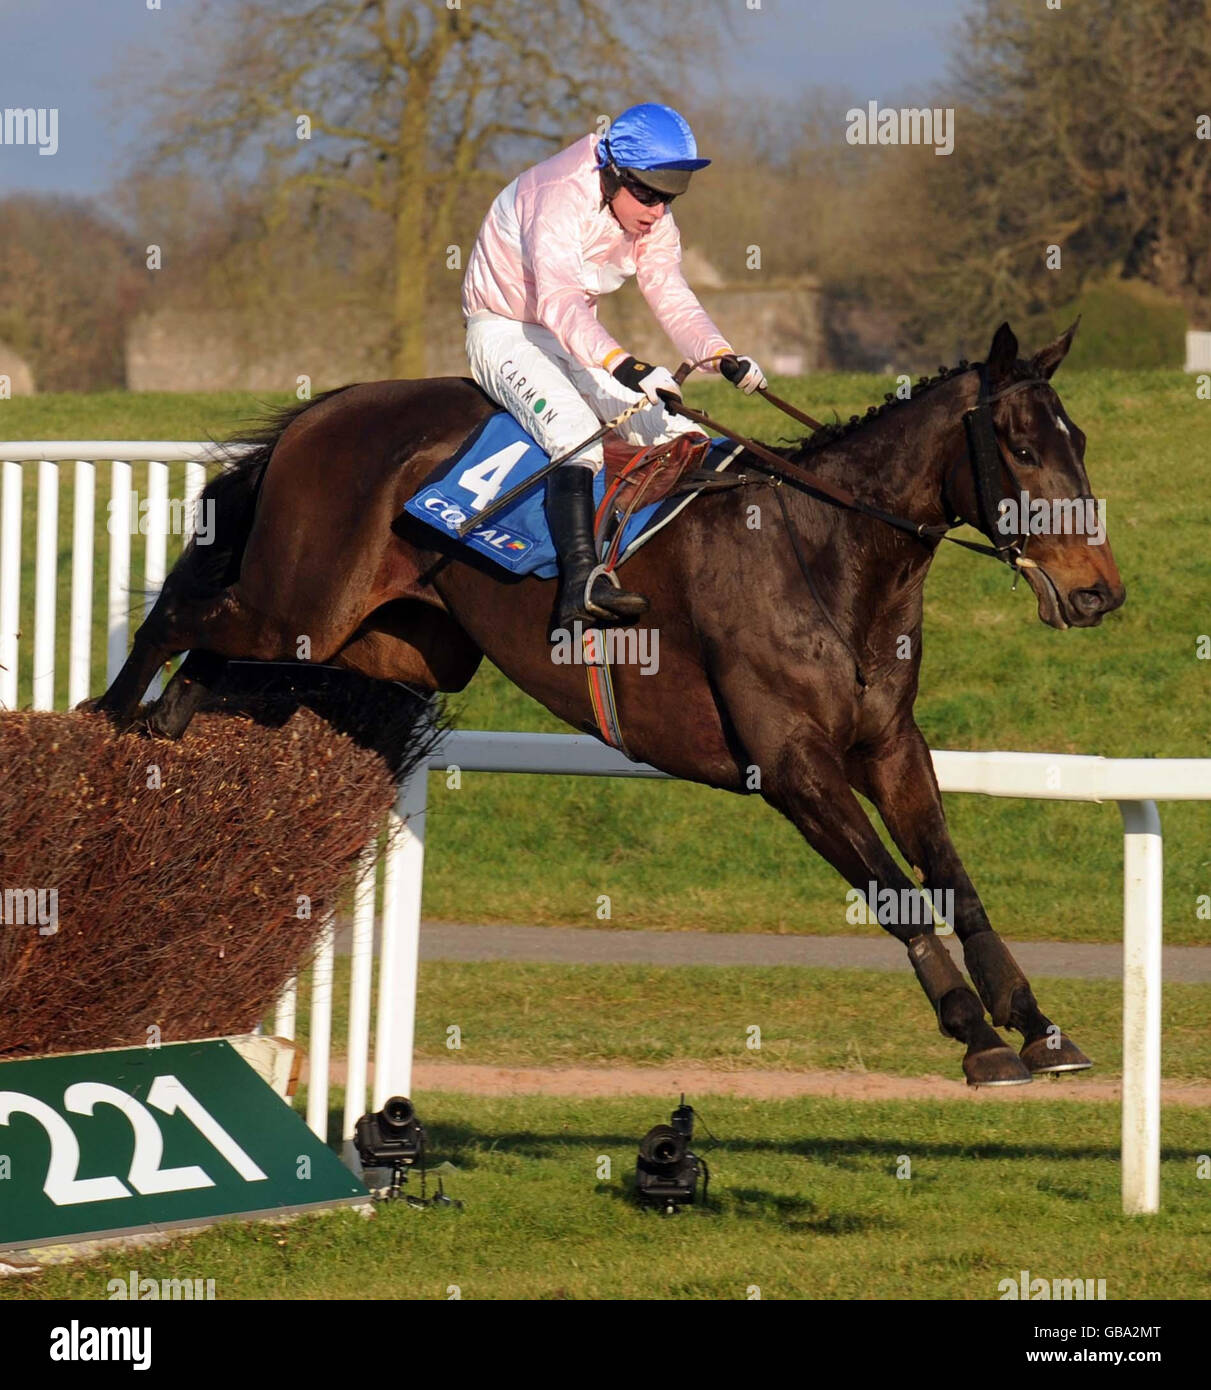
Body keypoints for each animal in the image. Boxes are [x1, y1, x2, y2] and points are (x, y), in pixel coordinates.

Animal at [89, 320, 1124, 1086]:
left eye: (1077, 442)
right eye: (1021, 447)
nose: (1098, 592)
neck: (822, 548)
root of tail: (324, 411)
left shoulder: (889, 748)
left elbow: (952, 876)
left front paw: (1034, 1023)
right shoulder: (792, 767)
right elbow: (897, 893)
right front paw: (974, 1032)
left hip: (381, 647)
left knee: (212, 667)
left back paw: (164, 729)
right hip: (293, 606)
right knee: (177, 616)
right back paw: (108, 728)